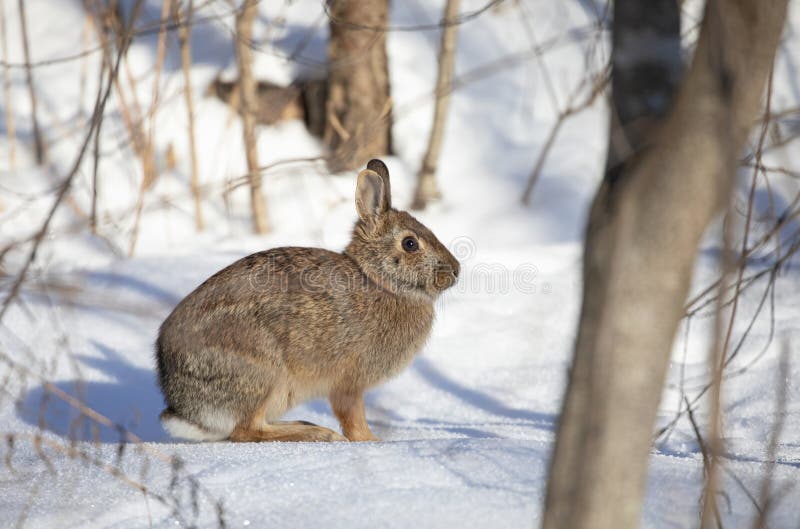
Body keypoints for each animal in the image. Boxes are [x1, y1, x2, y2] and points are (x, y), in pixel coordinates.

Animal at [156, 159, 460, 442]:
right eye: (410, 244)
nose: (455, 271)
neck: (378, 280)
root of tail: (183, 408)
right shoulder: (349, 381)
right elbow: (352, 417)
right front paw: (371, 441)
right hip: (261, 373)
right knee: (246, 430)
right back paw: (317, 433)